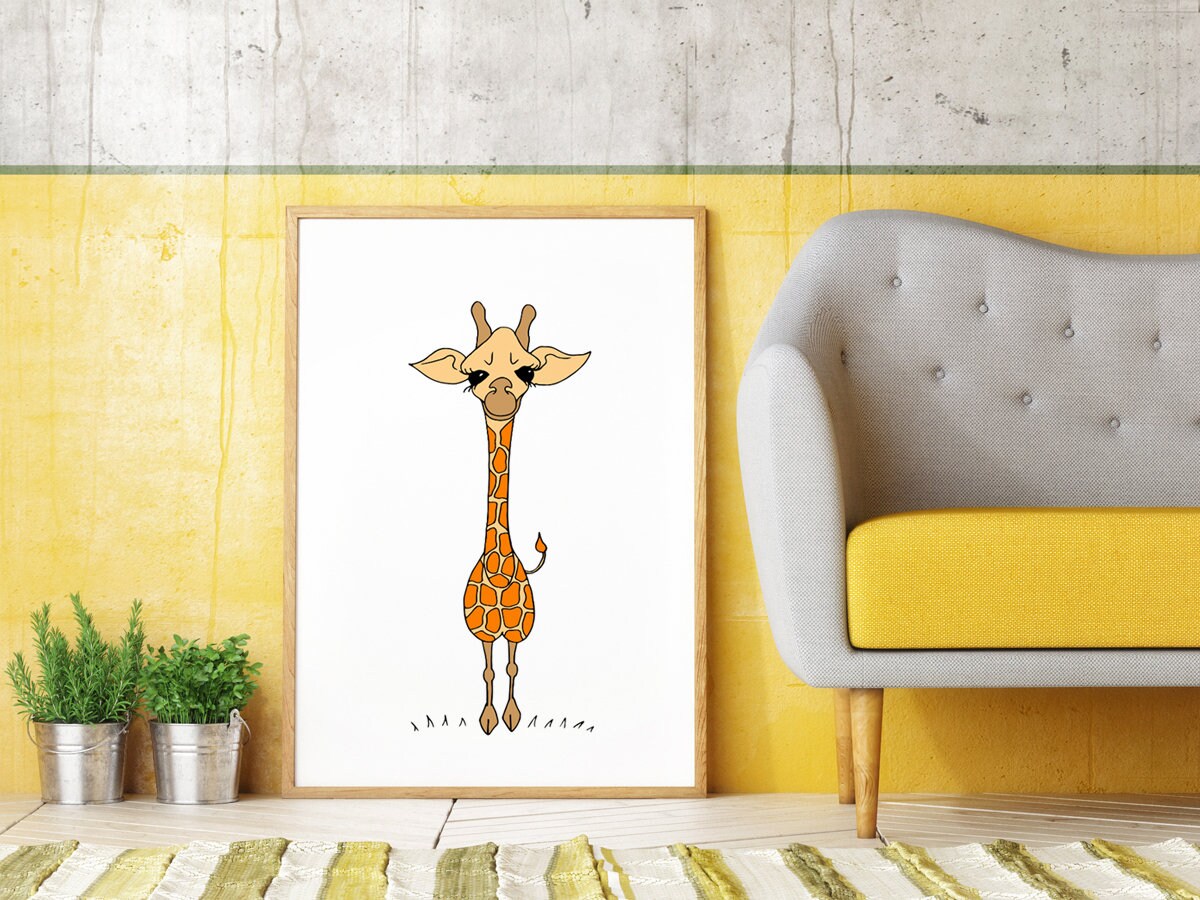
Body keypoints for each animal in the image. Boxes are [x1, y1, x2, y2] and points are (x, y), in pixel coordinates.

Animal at [412, 302, 590, 734]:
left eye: (527, 372)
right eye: (474, 374)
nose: (500, 395)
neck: (498, 573)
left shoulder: (517, 632)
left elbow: (511, 667)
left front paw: (511, 717)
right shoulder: (483, 632)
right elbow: (489, 670)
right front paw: (488, 719)